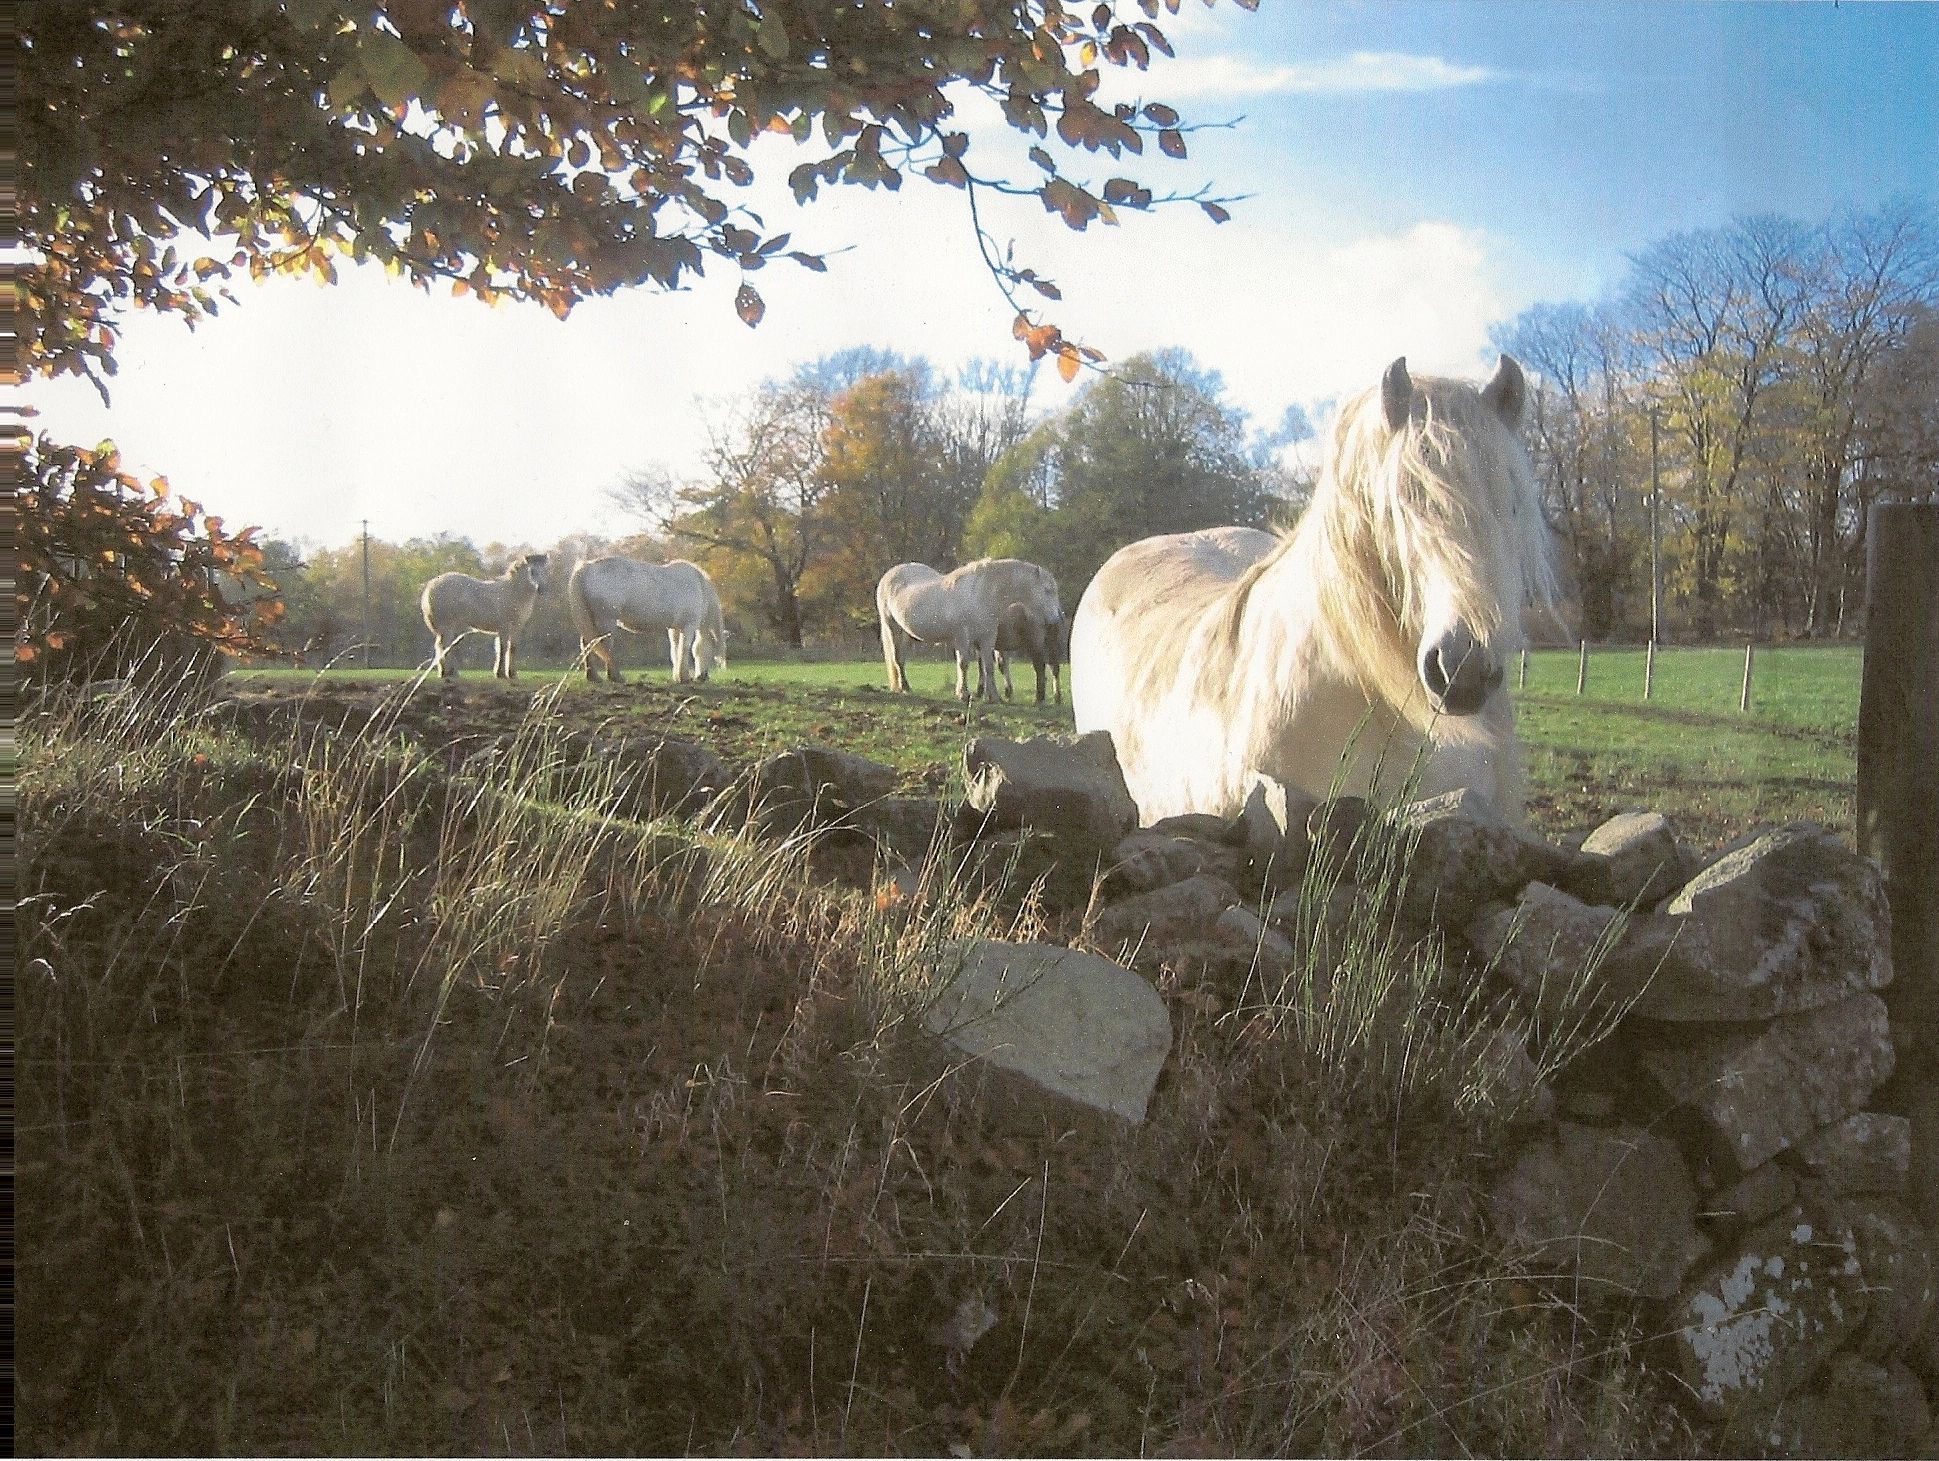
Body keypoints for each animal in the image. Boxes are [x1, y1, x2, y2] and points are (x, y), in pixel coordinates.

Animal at [421, 553, 549, 680]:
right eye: (532, 571)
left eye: (546, 570)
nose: (541, 589)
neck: (513, 592)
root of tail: (430, 586)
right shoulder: (504, 627)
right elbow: (502, 648)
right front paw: (500, 673)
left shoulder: (516, 627)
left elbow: (512, 648)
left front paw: (512, 674)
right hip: (447, 626)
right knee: (444, 646)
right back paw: (449, 673)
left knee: (444, 646)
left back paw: (448, 672)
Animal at [568, 556, 727, 684]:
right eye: (710, 653)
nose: (702, 677)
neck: (700, 587)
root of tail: (588, 567)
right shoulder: (688, 626)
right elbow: (684, 648)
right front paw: (684, 677)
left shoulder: (675, 629)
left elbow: (675, 650)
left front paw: (677, 676)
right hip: (606, 620)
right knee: (603, 645)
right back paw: (615, 677)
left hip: (591, 620)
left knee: (588, 643)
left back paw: (593, 677)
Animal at [876, 557, 1062, 702]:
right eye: (1047, 590)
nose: (1057, 618)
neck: (982, 594)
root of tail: (889, 575)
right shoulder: (962, 637)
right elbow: (963, 664)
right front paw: (963, 694)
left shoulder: (987, 639)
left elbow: (988, 667)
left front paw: (993, 697)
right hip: (891, 626)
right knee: (897, 658)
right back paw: (904, 687)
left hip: (907, 632)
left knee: (901, 659)